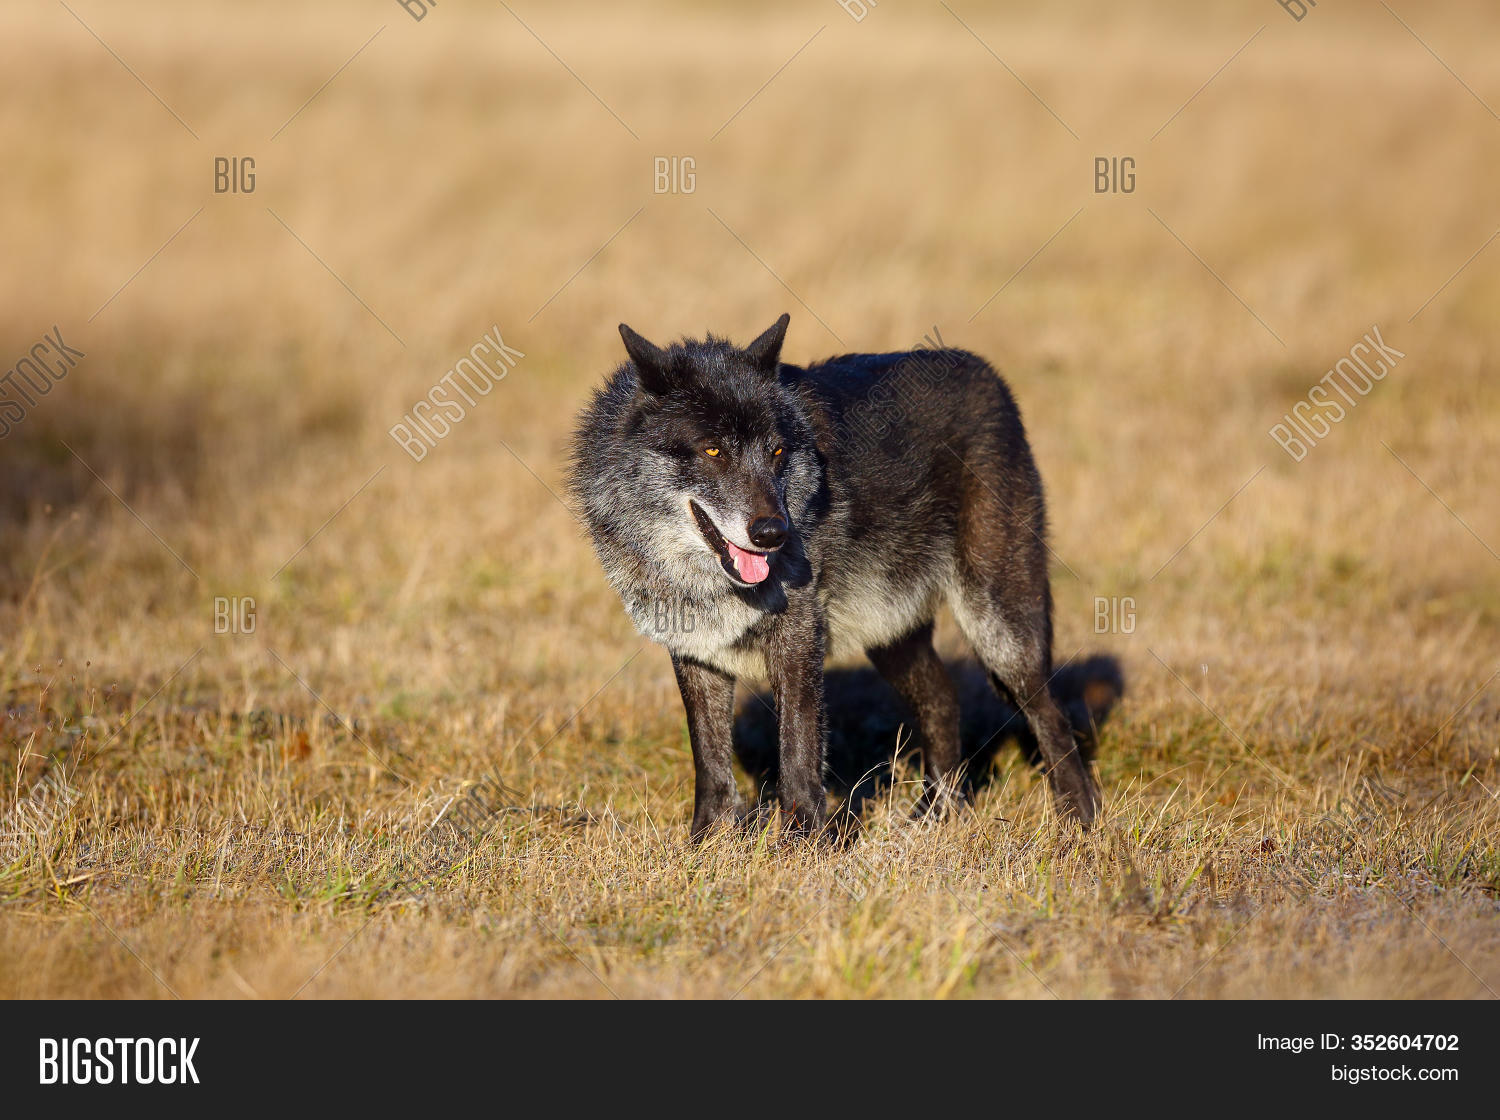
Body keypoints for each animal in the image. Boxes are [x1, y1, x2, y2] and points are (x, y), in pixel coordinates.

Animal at [569, 314, 1101, 839]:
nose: (773, 533)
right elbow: (711, 762)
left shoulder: (799, 636)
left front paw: (802, 844)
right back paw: (935, 819)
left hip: (998, 626)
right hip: (891, 633)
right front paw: (705, 845)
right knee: (943, 699)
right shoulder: (697, 648)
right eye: (713, 450)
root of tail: (988, 374)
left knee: (1050, 716)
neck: (700, 581)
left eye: (777, 451)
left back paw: (1078, 824)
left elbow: (799, 751)